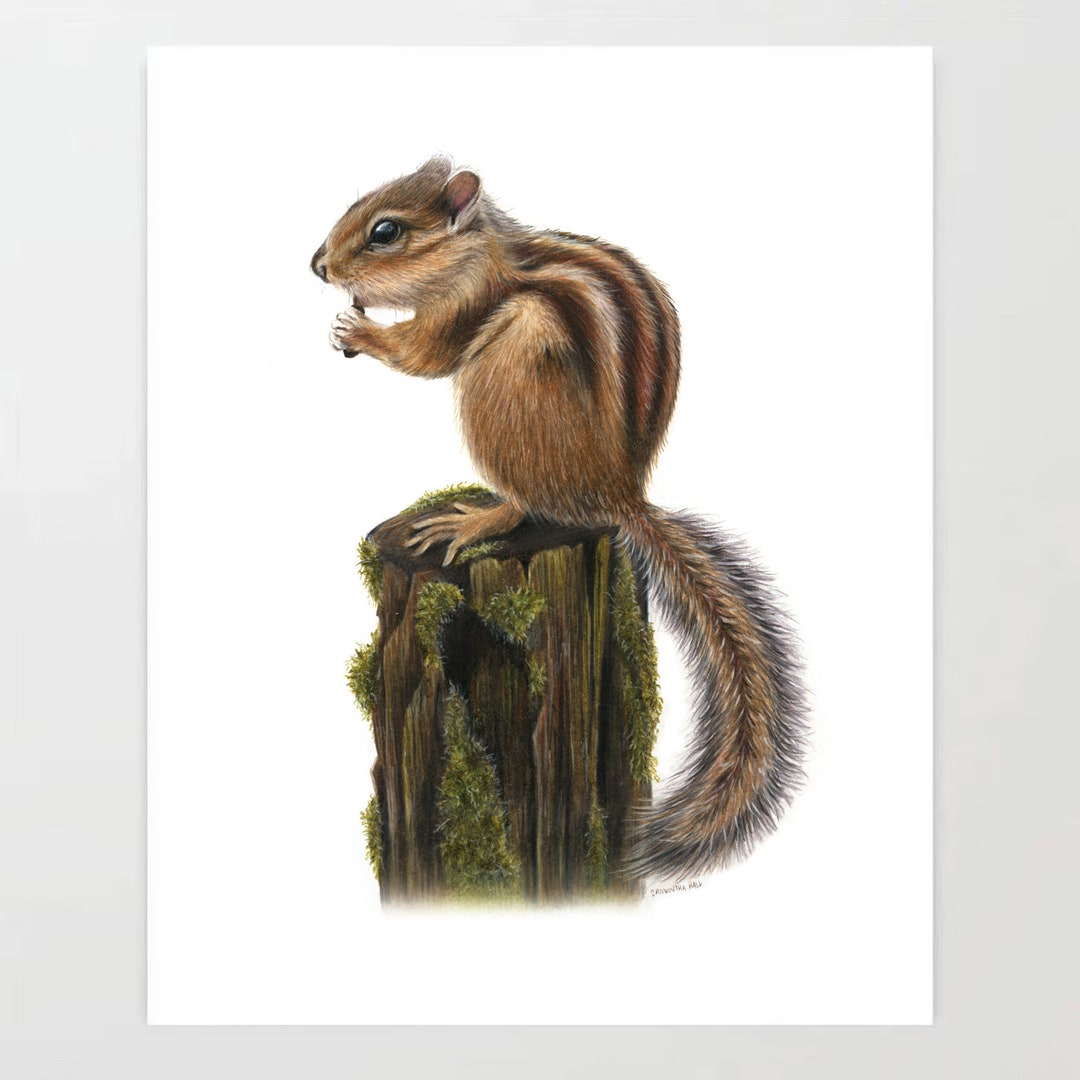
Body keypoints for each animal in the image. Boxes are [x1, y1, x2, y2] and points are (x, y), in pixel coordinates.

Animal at [311, 156, 807, 880]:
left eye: (385, 231)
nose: (318, 265)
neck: (481, 253)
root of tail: (619, 492)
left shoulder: (464, 306)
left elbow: (426, 355)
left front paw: (360, 332)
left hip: (501, 385)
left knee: (522, 501)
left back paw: (470, 521)